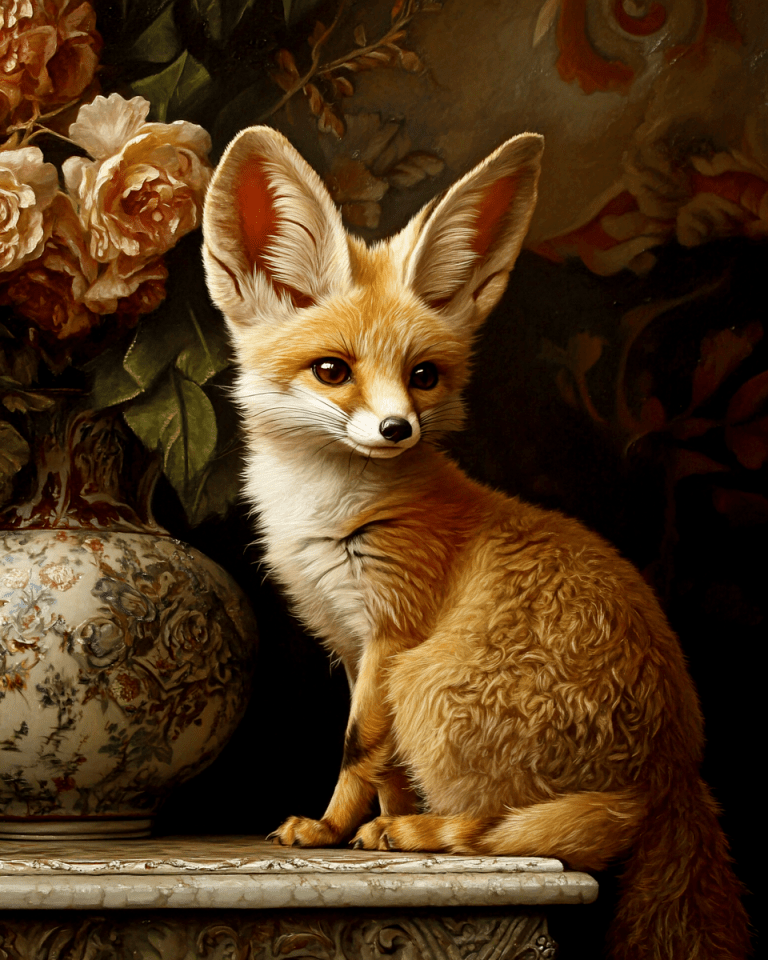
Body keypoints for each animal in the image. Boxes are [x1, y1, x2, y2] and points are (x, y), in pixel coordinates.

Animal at [201, 125, 749, 960]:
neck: (327, 511)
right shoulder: (352, 640)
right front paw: (359, 827)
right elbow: (382, 765)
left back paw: (433, 832)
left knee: (543, 834)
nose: (397, 429)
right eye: (332, 371)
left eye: (423, 375)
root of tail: (678, 770)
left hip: (431, 687)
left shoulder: (393, 635)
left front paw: (350, 829)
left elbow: (358, 747)